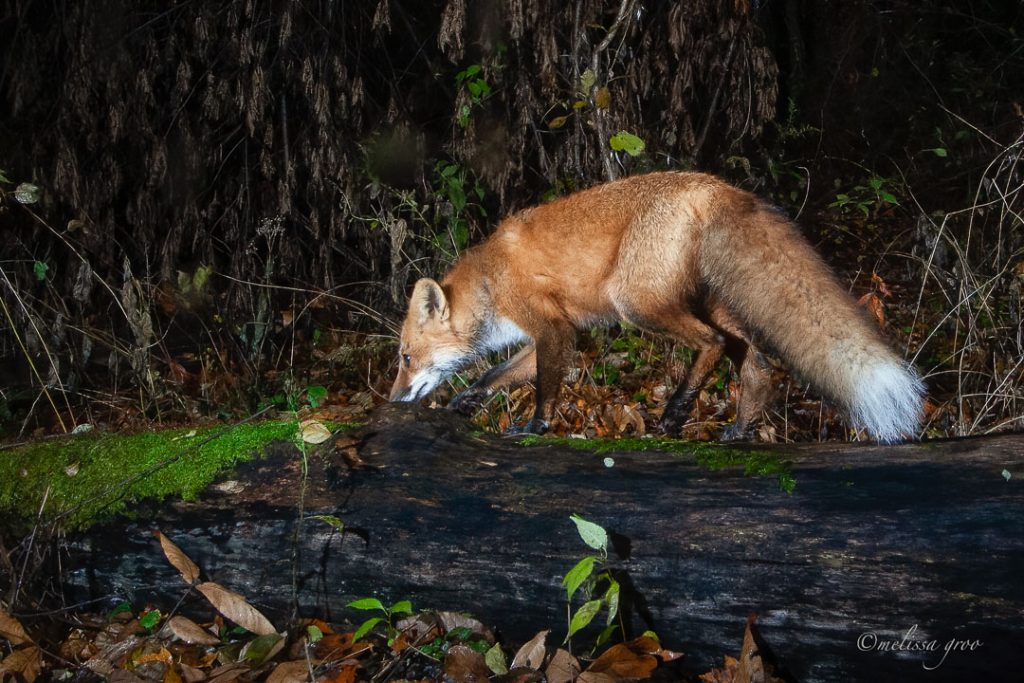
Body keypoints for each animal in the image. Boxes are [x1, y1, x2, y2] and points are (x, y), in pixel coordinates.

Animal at [389, 171, 925, 443]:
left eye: (405, 357)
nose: (393, 400)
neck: (488, 280)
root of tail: (714, 184)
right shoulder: (559, 333)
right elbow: (492, 373)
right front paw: (465, 401)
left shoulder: (552, 329)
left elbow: (544, 389)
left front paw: (535, 426)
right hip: (708, 304)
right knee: (756, 362)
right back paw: (739, 428)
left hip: (638, 303)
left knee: (713, 344)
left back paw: (675, 413)